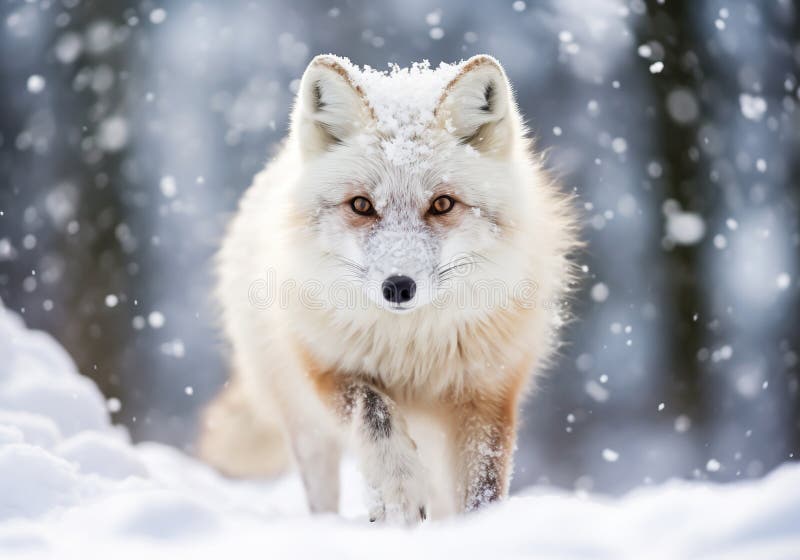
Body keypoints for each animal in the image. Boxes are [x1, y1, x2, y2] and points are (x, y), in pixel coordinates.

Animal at [199, 54, 580, 523]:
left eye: (442, 204)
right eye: (362, 205)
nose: (398, 287)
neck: (411, 349)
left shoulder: (487, 393)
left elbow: (482, 490)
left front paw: (476, 528)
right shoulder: (324, 367)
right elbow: (375, 415)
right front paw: (399, 487)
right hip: (304, 424)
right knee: (323, 492)